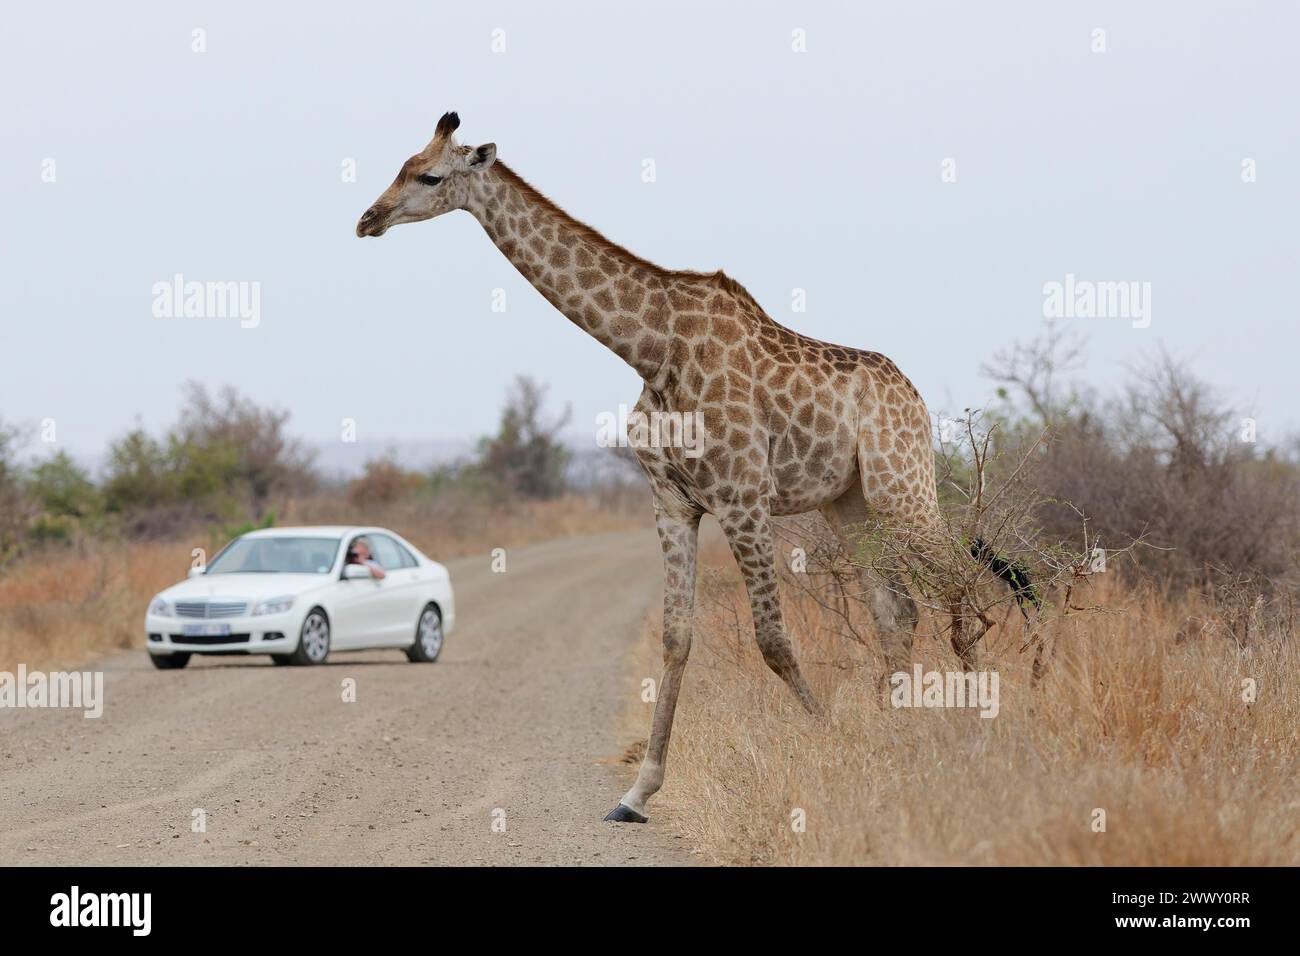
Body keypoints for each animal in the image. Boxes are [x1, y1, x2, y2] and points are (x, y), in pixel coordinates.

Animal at [357, 112, 1030, 824]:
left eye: (430, 176)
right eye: (401, 165)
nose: (368, 219)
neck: (651, 349)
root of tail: (913, 394)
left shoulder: (743, 497)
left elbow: (772, 638)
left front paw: (833, 736)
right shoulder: (673, 501)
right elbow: (676, 637)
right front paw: (636, 792)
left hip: (902, 481)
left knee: (961, 580)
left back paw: (978, 727)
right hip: (849, 501)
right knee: (894, 607)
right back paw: (901, 729)